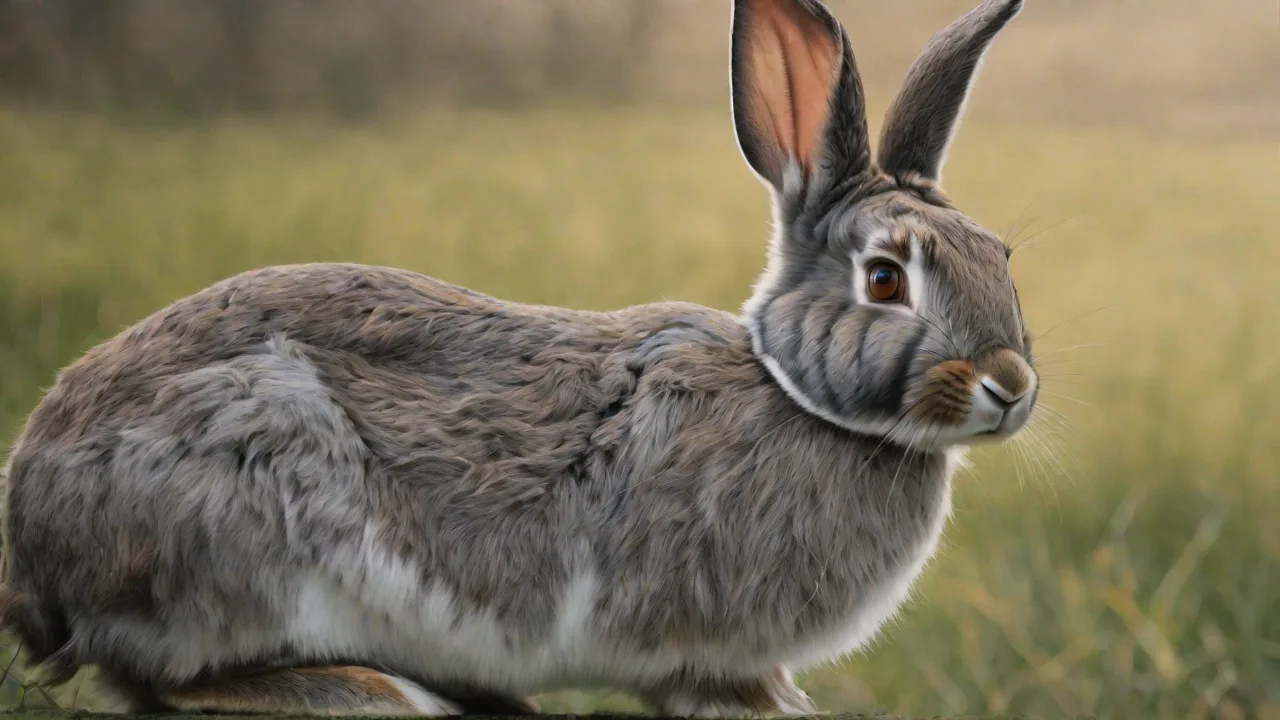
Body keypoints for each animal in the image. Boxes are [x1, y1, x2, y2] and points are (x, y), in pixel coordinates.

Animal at [0, 0, 1034, 716]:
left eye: (1003, 258)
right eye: (886, 279)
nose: (1012, 388)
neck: (799, 396)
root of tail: (35, 552)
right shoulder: (701, 650)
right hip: (245, 518)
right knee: (165, 681)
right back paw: (382, 694)